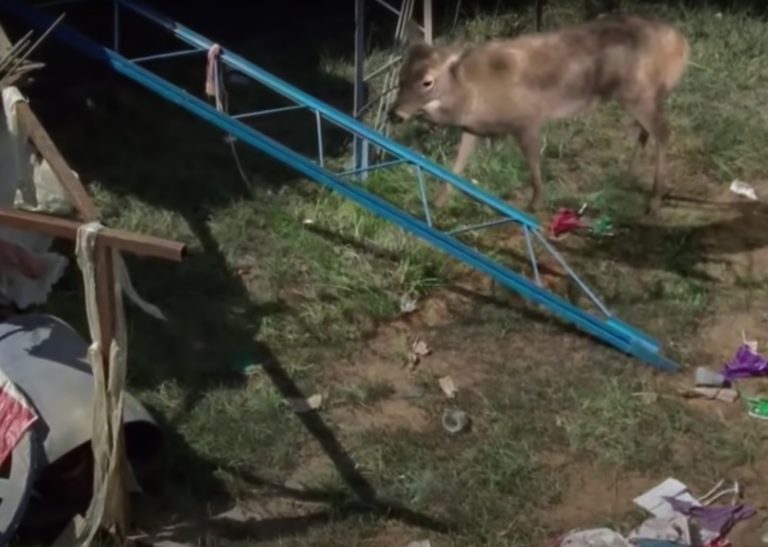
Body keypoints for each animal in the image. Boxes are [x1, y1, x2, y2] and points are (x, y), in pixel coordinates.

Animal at [388, 14, 690, 215]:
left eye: (427, 81)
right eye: (400, 76)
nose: (394, 114)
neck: (471, 94)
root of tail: (681, 43)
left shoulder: (527, 118)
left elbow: (533, 161)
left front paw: (535, 202)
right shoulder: (473, 128)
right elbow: (457, 165)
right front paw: (438, 201)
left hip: (637, 91)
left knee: (663, 131)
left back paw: (654, 200)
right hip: (645, 95)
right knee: (648, 130)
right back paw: (628, 176)